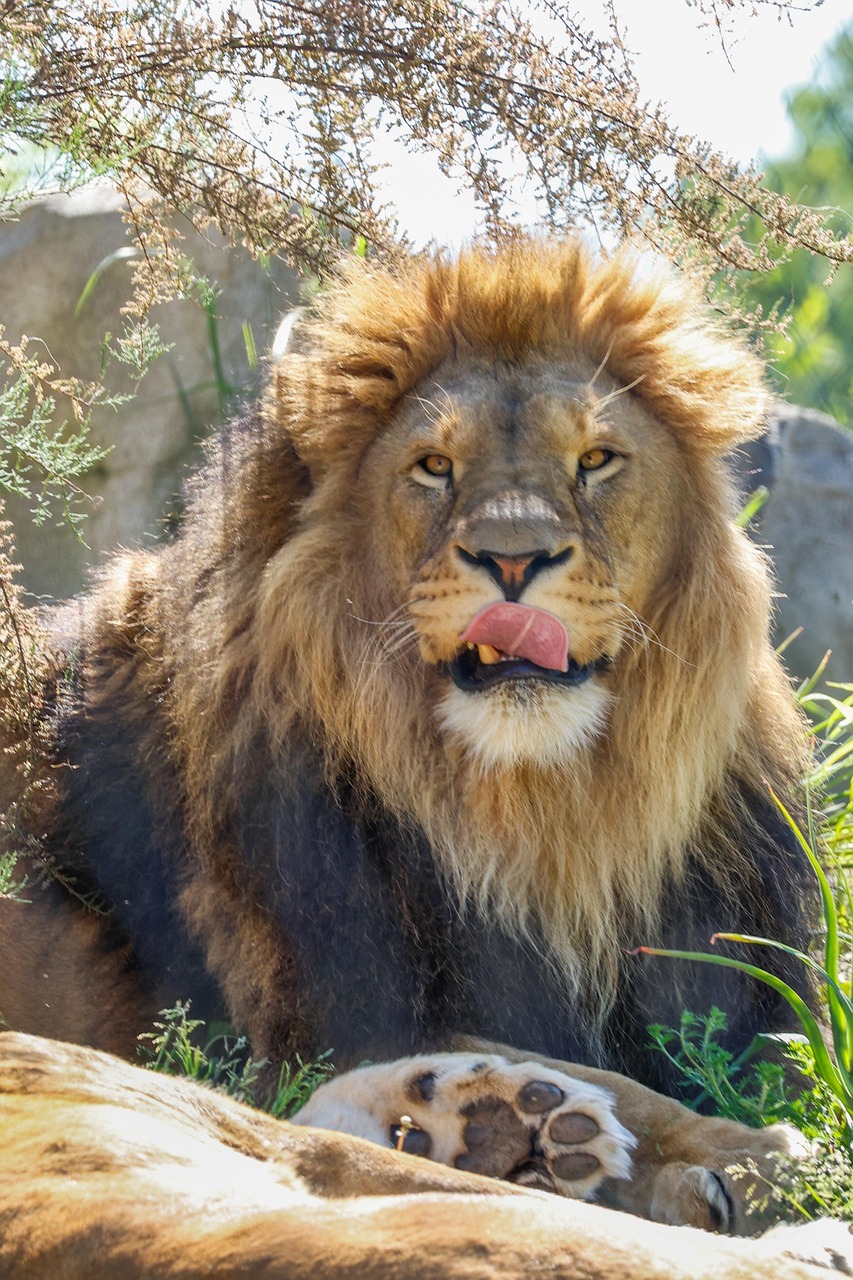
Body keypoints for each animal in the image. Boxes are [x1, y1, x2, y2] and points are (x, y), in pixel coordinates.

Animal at [0, 238, 821, 1239]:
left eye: (595, 459)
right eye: (434, 466)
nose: (513, 559)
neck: (544, 820)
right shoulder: (314, 1009)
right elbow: (607, 1081)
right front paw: (752, 1157)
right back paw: (484, 1122)